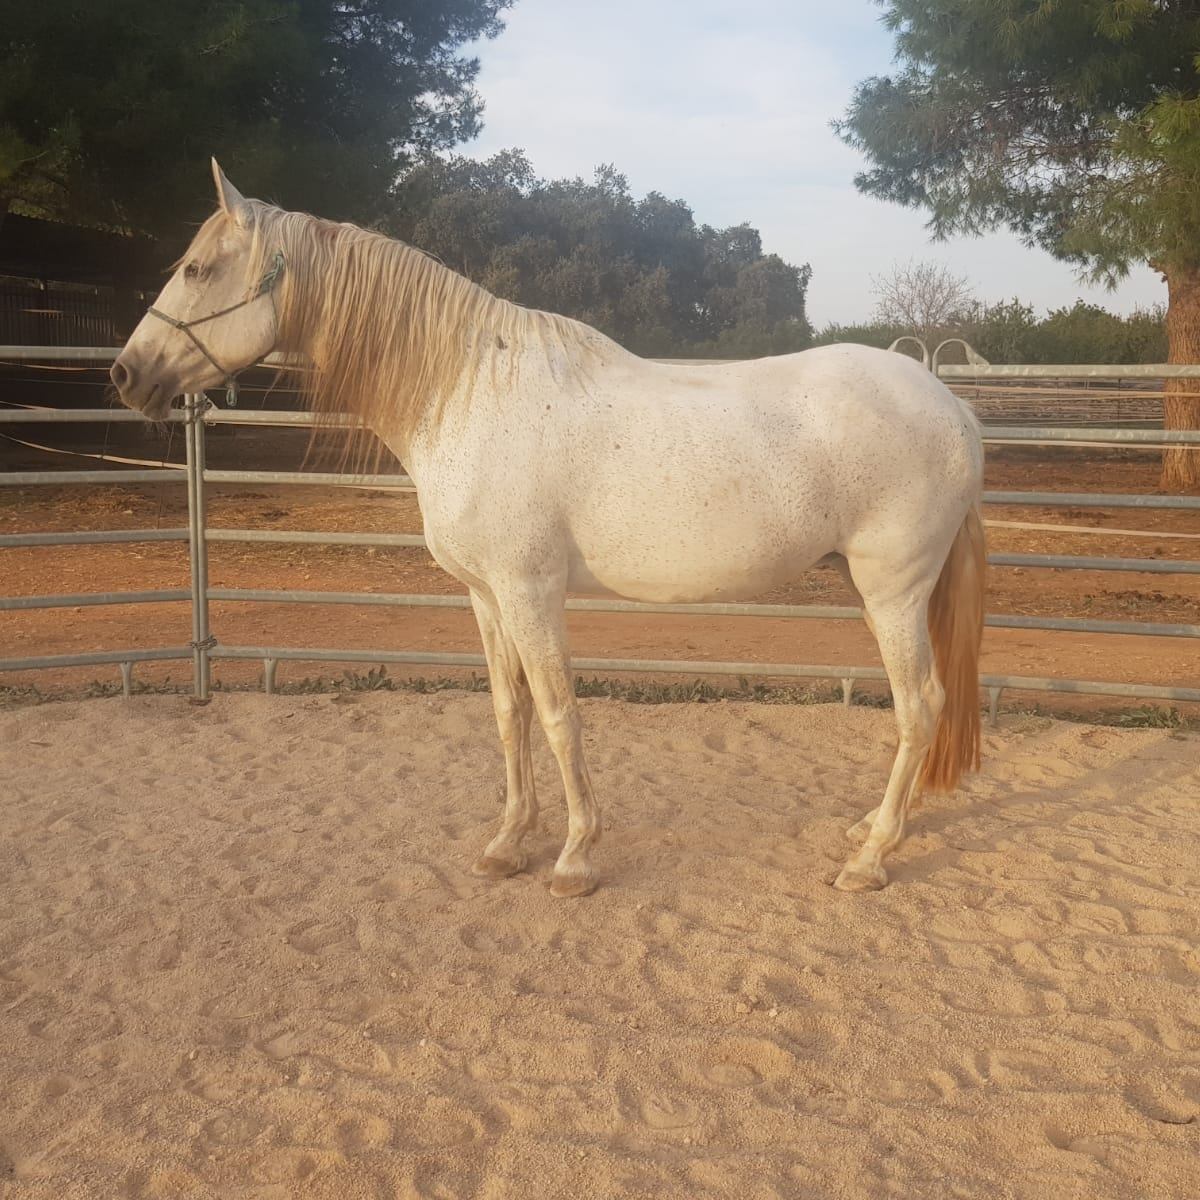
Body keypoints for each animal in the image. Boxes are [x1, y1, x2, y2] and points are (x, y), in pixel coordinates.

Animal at [111, 160, 985, 897]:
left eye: (196, 269)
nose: (126, 374)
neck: (469, 391)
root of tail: (953, 407)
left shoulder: (532, 592)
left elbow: (562, 714)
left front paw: (574, 858)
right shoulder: (487, 596)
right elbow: (512, 713)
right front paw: (508, 844)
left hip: (893, 591)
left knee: (920, 705)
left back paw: (871, 860)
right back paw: (871, 829)